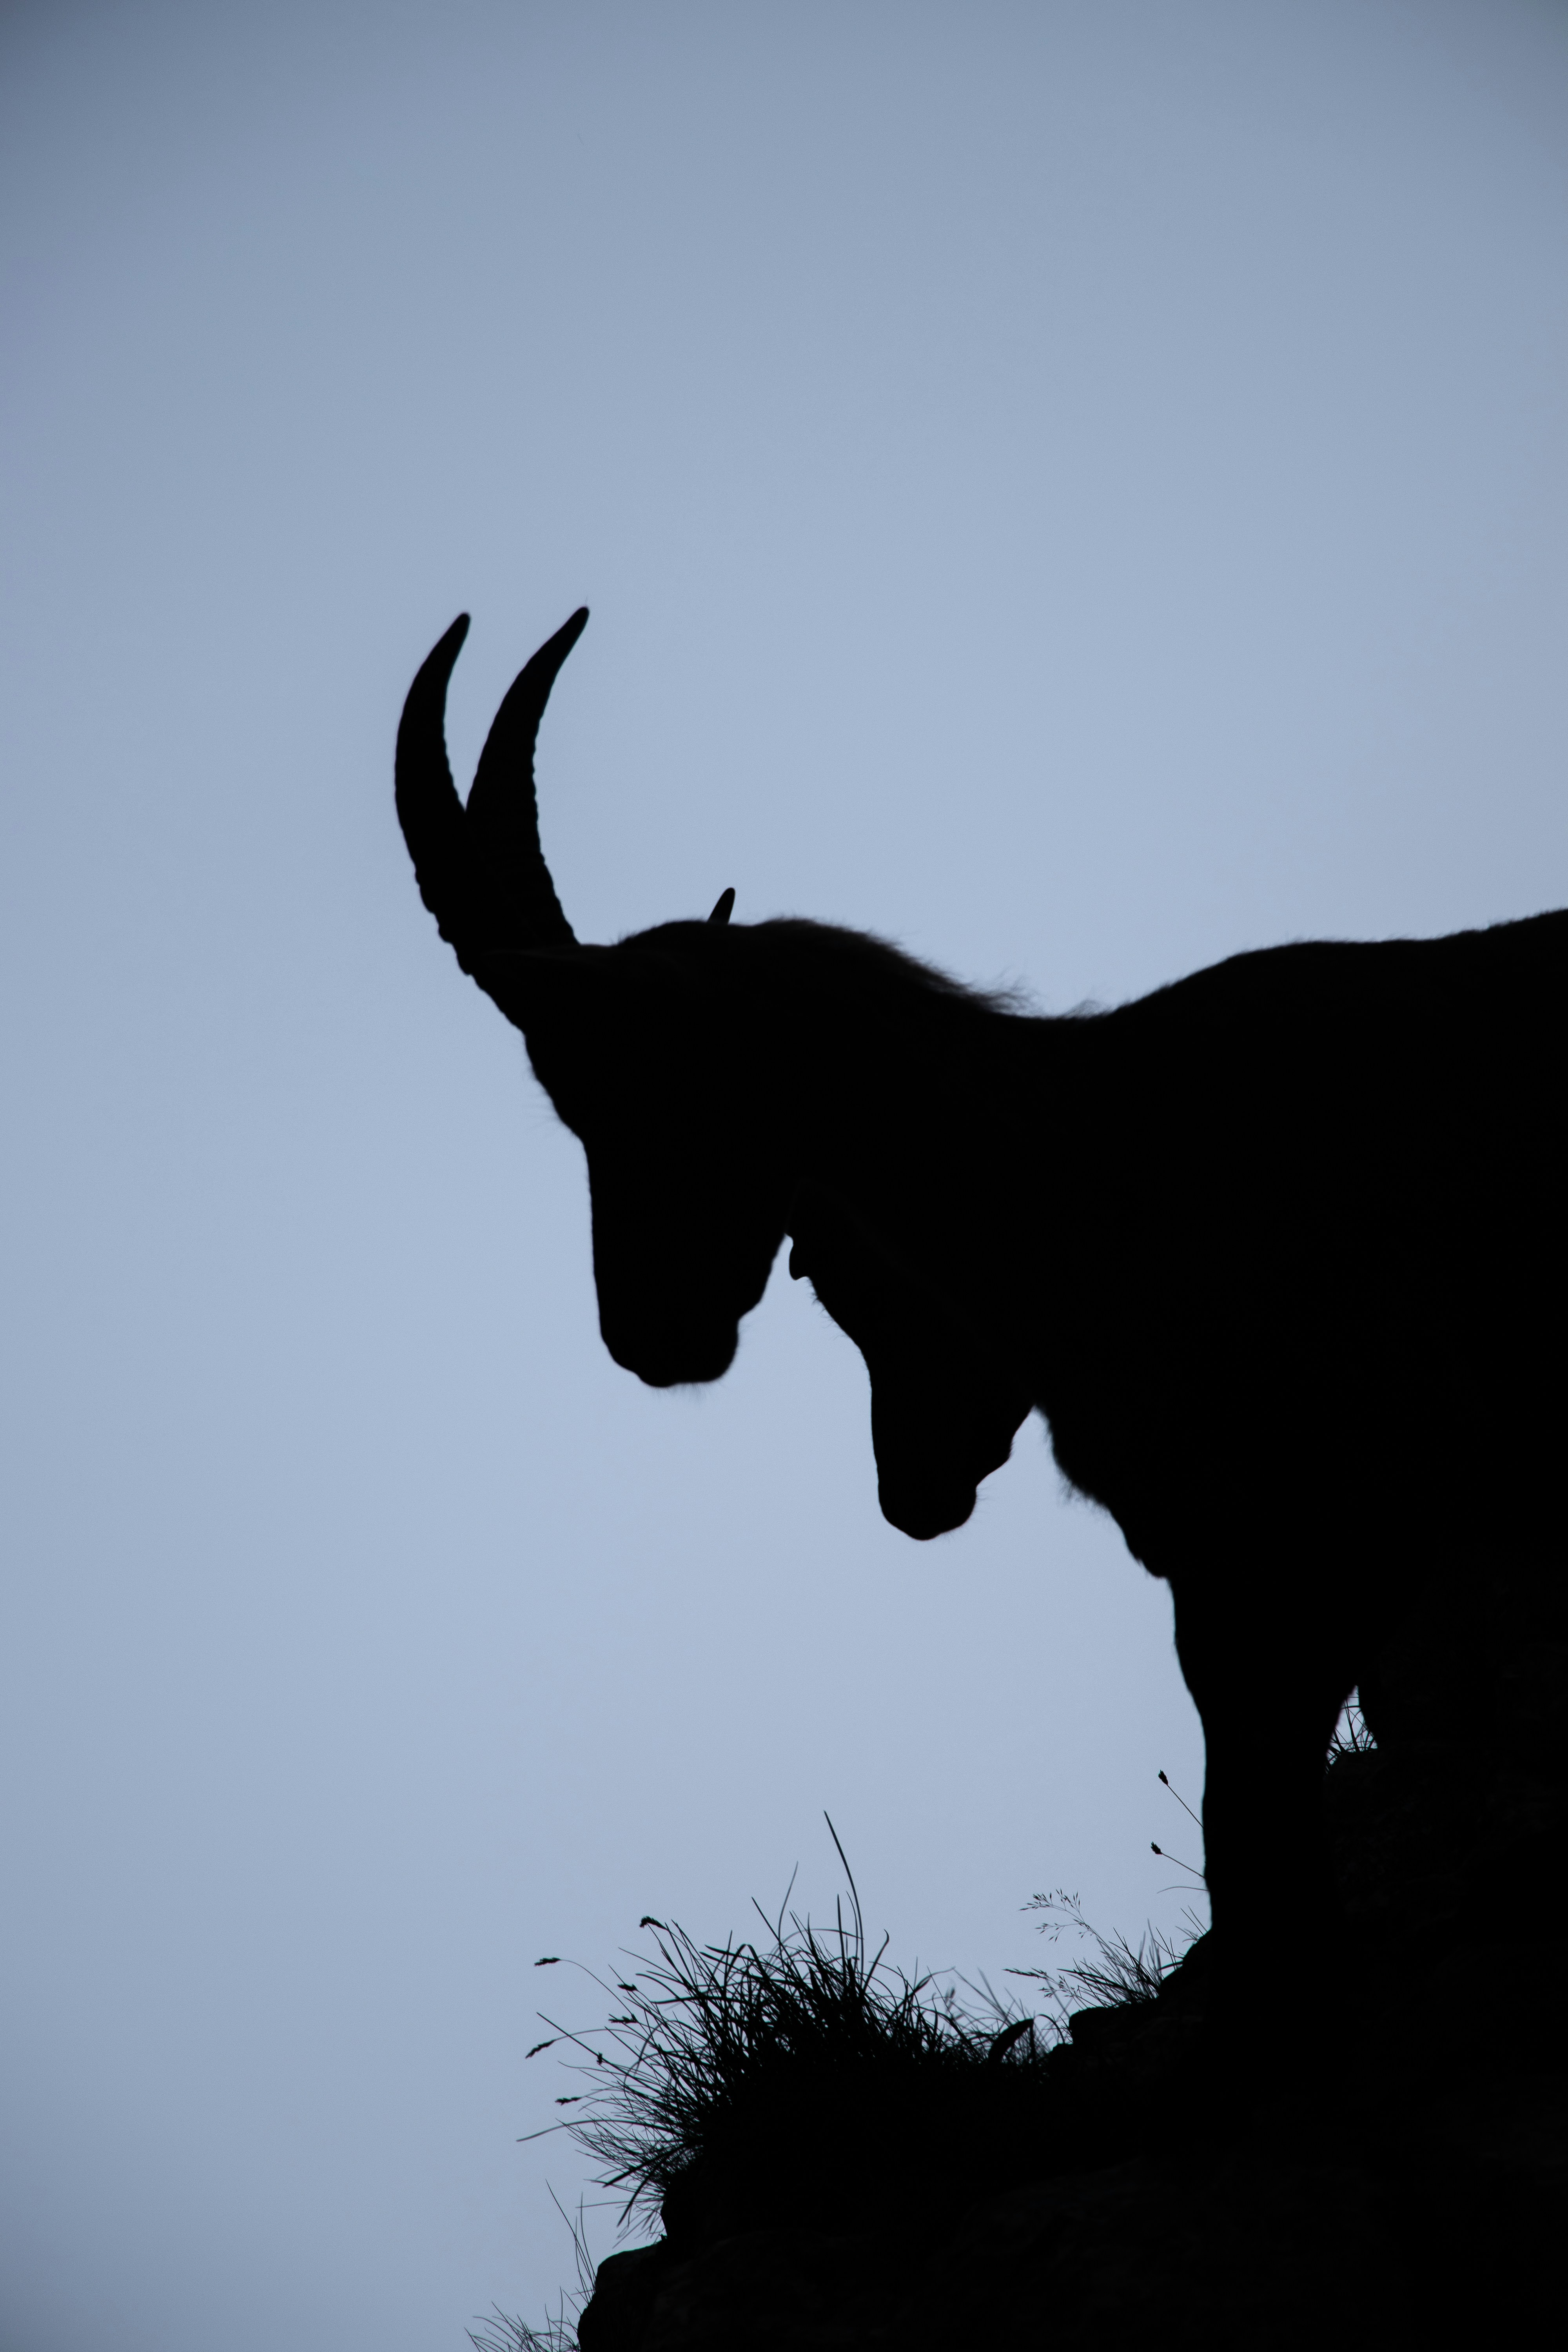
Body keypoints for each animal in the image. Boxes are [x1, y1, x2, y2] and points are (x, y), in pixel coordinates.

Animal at [396, 608, 1568, 1968]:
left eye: (644, 1087)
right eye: (824, 1273)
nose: (649, 1332)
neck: (1071, 1166)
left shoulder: (1375, 1488)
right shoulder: (1217, 1558)